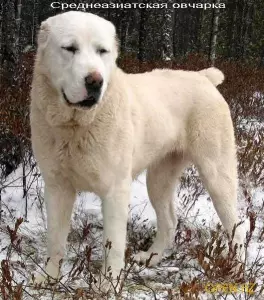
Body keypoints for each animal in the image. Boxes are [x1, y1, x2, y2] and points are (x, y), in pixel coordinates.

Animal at [29, 11, 244, 288]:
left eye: (102, 51)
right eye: (70, 48)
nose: (95, 81)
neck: (77, 127)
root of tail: (203, 77)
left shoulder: (115, 190)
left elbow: (113, 244)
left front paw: (109, 283)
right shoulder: (57, 186)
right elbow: (55, 238)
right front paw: (49, 276)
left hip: (216, 173)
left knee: (236, 226)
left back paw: (235, 269)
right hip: (159, 179)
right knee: (170, 221)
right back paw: (152, 258)